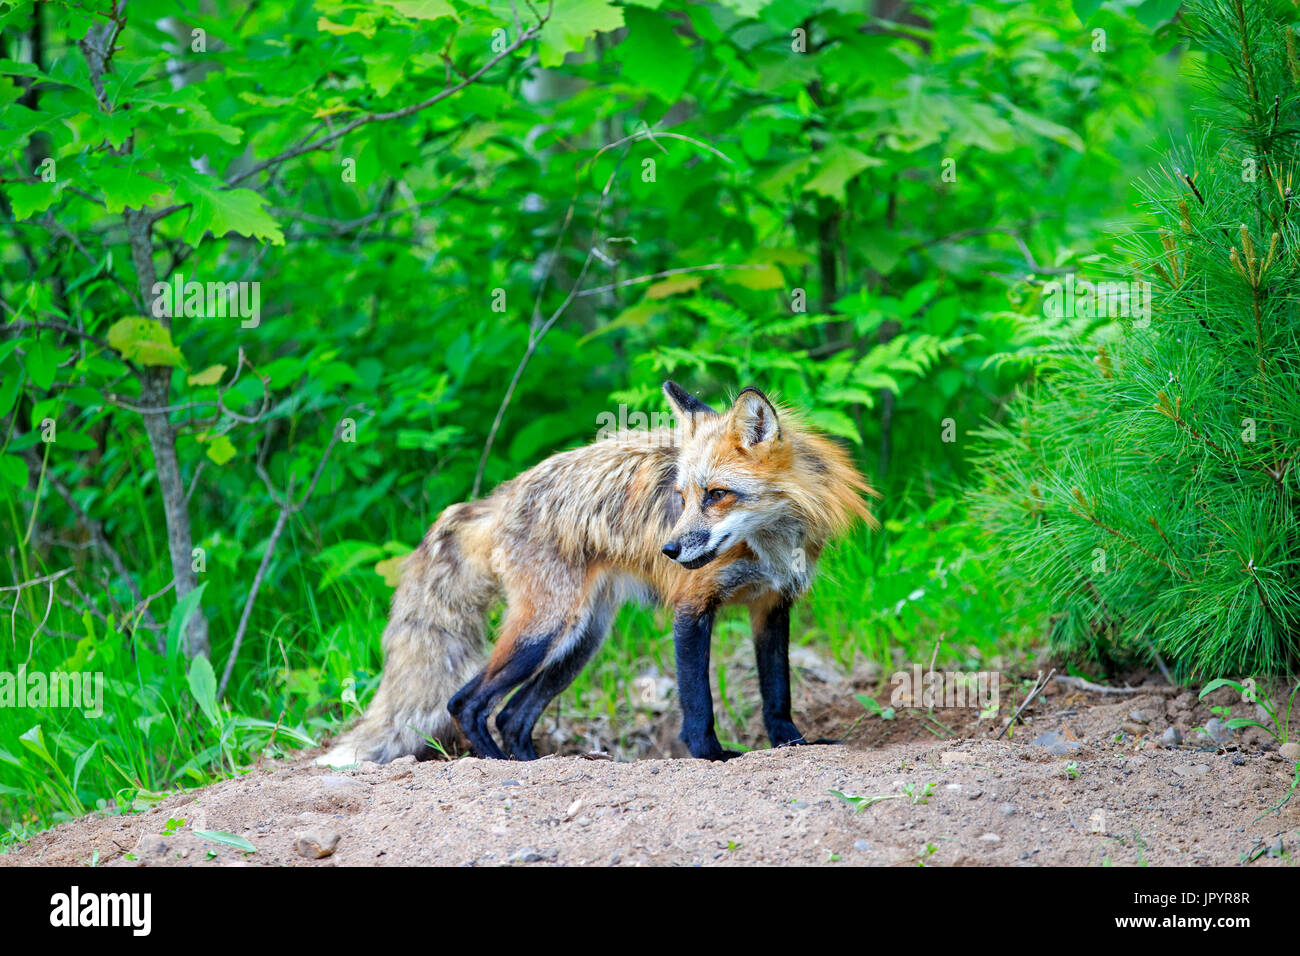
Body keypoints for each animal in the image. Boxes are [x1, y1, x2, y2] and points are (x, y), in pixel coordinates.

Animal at [317, 381, 876, 766]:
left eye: (717, 494)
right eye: (681, 498)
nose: (669, 549)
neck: (766, 544)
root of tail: (502, 497)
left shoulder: (772, 605)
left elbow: (777, 693)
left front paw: (794, 744)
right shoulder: (692, 607)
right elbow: (698, 701)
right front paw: (711, 754)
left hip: (580, 642)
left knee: (512, 715)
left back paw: (533, 764)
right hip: (544, 631)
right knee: (466, 702)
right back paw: (496, 766)